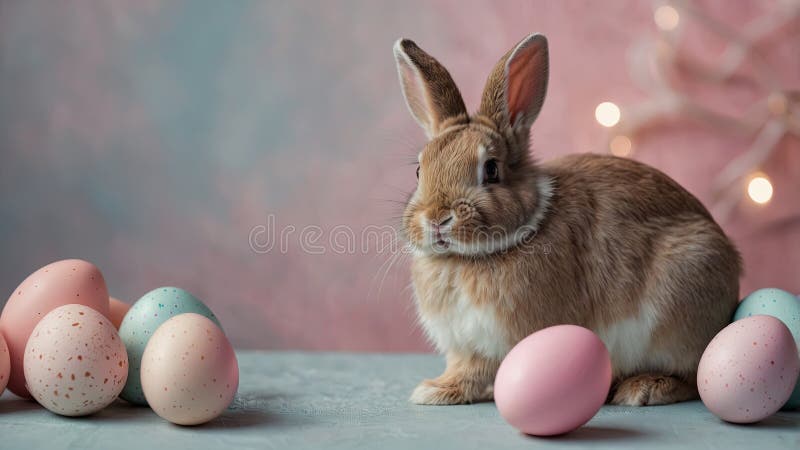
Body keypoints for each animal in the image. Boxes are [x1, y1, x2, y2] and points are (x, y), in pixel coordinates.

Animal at [392, 33, 742, 406]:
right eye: (419, 170)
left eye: (492, 169)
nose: (437, 218)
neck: (468, 258)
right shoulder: (464, 344)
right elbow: (462, 369)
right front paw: (437, 388)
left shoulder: (502, 343)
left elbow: (479, 371)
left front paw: (434, 393)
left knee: (694, 375)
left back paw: (643, 388)